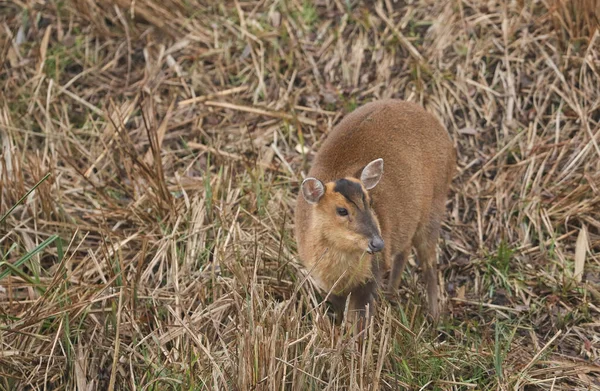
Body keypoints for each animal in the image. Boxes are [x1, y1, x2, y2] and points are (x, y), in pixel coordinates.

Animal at [294, 99, 454, 324]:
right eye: (342, 210)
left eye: (370, 202)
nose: (377, 243)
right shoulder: (325, 282)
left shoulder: (371, 277)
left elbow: (359, 322)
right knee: (405, 249)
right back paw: (391, 295)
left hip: (434, 205)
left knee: (429, 261)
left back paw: (434, 316)